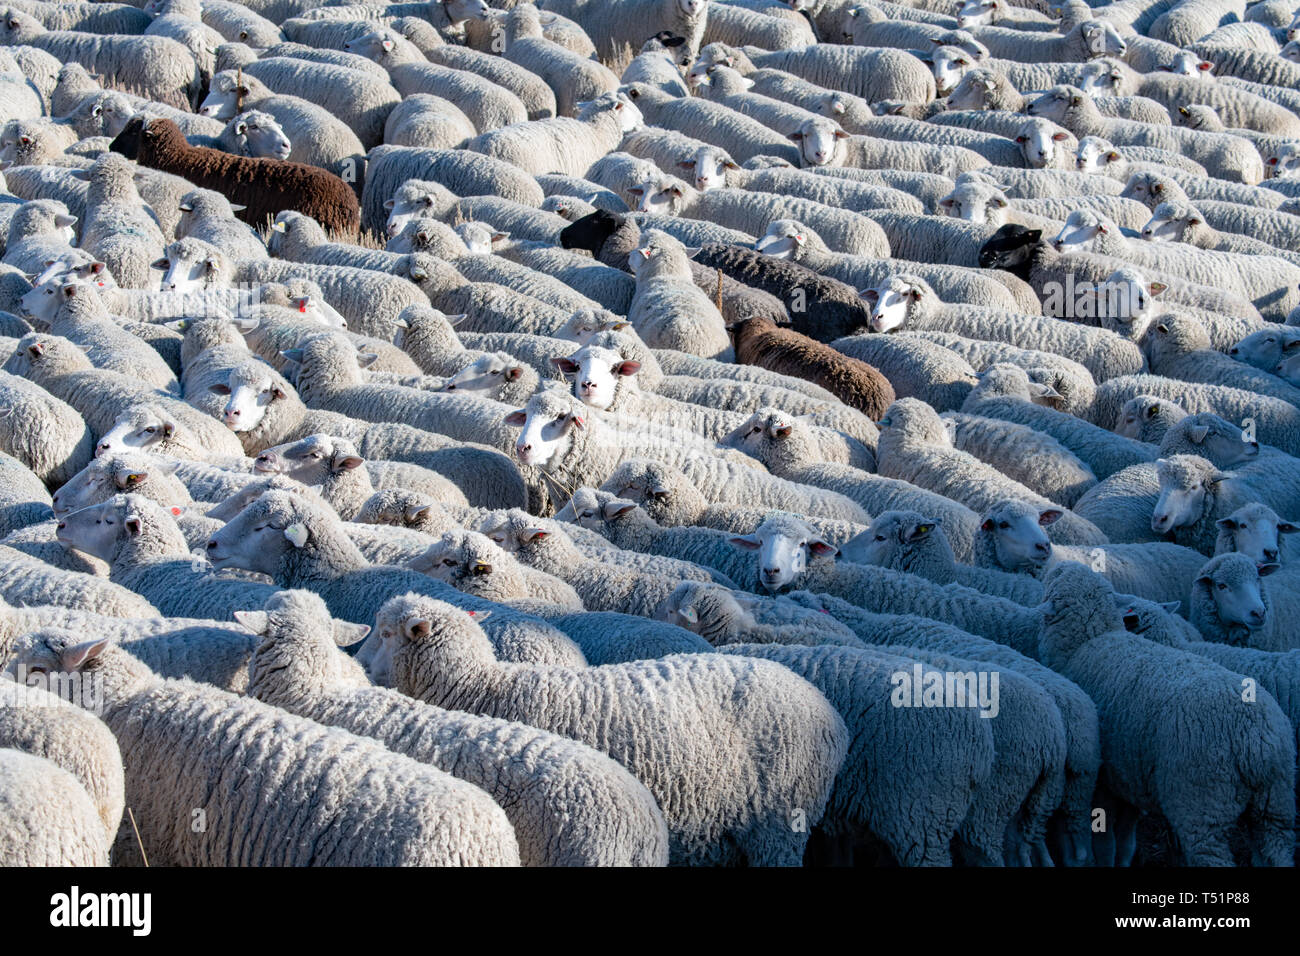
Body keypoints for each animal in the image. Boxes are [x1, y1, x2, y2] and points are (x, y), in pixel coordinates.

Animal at [1039, 563, 1295, 866]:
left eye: (1053, 581)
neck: (1089, 639)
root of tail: (1255, 737)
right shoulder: (1131, 773)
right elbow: (1125, 838)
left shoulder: (1103, 780)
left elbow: (1105, 841)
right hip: (1275, 804)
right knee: (1276, 849)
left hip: (1203, 803)